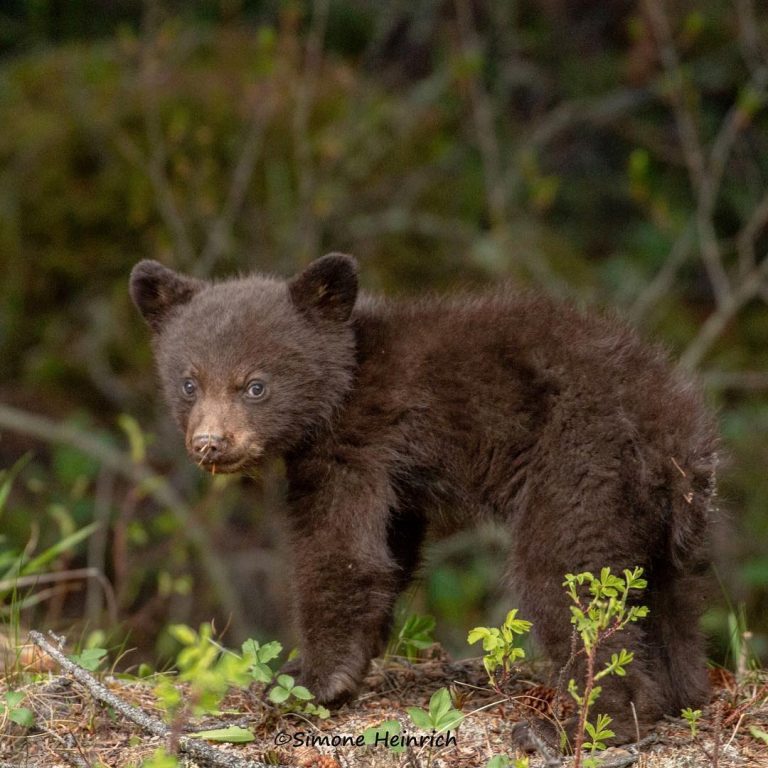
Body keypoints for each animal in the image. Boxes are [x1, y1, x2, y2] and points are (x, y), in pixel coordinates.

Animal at [129, 253, 717, 748]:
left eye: (255, 385)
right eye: (188, 383)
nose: (211, 443)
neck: (343, 383)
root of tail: (672, 428)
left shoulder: (357, 445)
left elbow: (340, 552)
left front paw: (310, 680)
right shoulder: (398, 484)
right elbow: (389, 551)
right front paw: (338, 669)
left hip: (580, 466)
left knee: (568, 578)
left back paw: (580, 726)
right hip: (661, 515)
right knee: (669, 596)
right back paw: (679, 692)